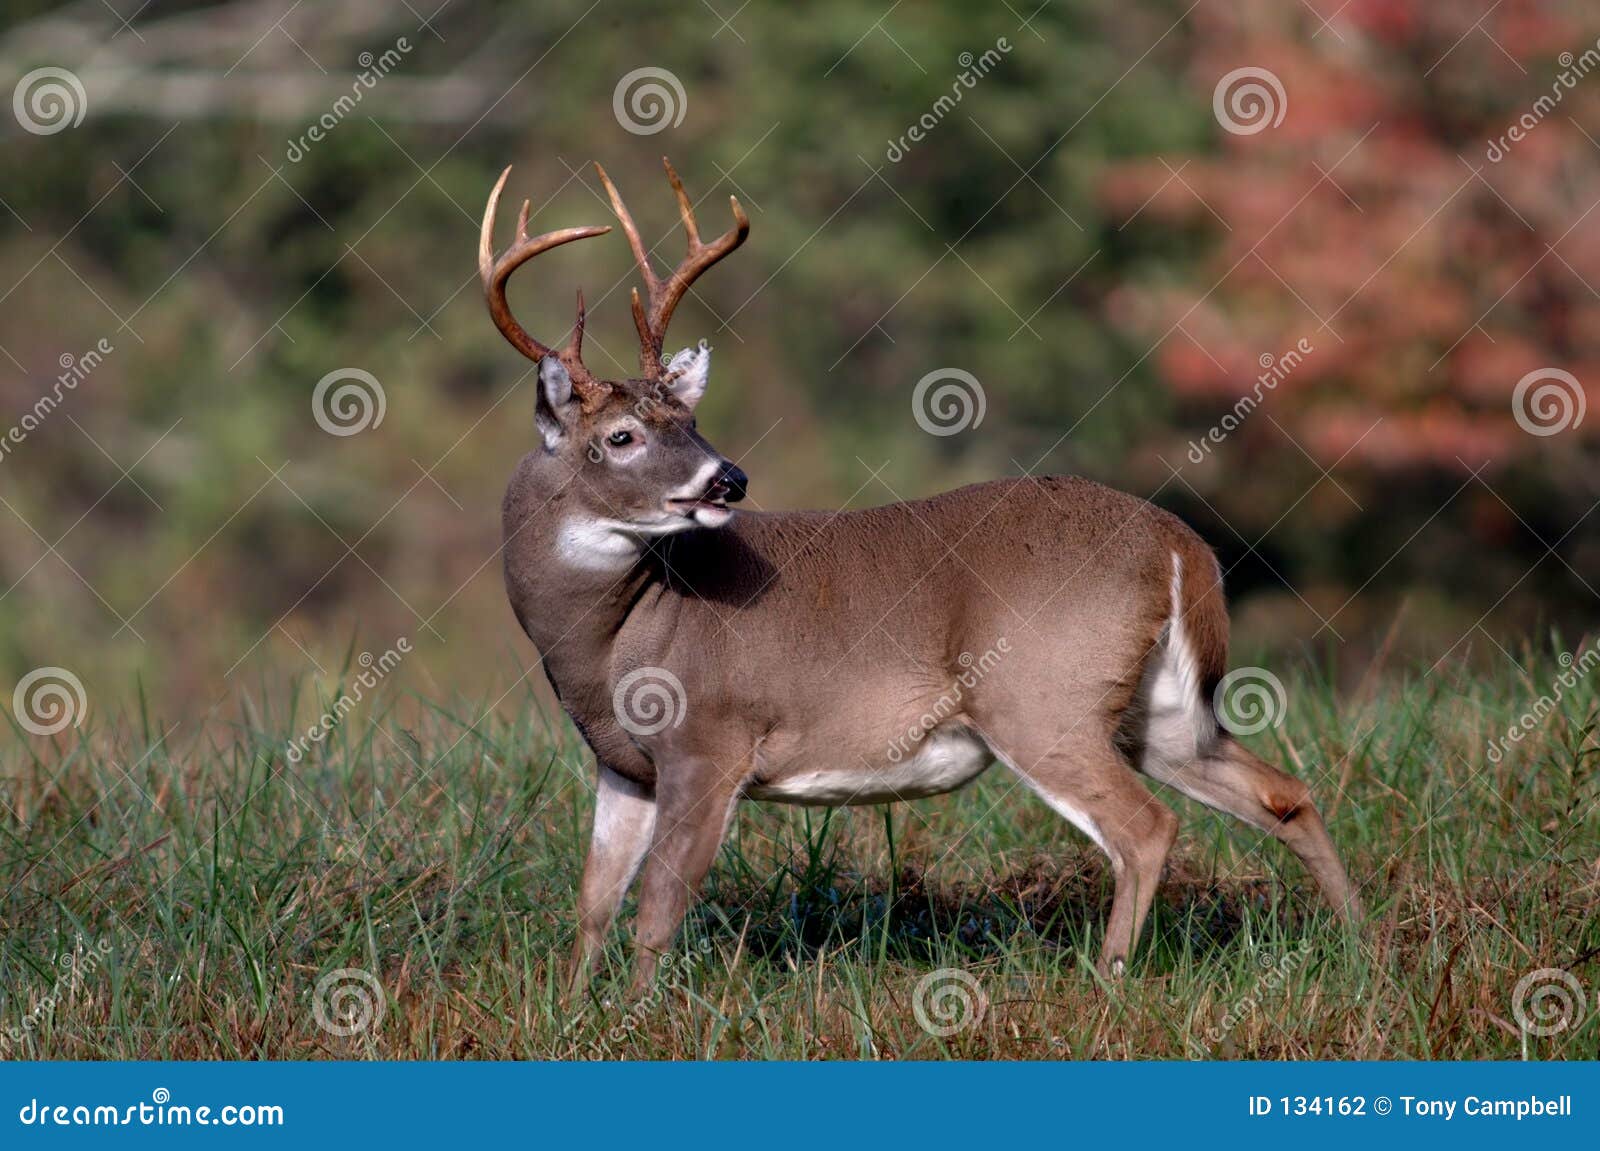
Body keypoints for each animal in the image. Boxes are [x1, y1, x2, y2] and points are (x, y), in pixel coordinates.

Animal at [480, 156, 1361, 1000]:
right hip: (1158, 708)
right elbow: (594, 903)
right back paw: (1361, 940)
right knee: (1283, 792)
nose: (727, 477)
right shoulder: (622, 765)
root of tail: (1182, 548)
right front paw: (570, 1011)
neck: (614, 638)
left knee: (1146, 827)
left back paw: (1109, 984)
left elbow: (658, 906)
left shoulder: (710, 736)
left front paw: (632, 1017)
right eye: (623, 435)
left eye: (690, 421)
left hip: (1043, 696)